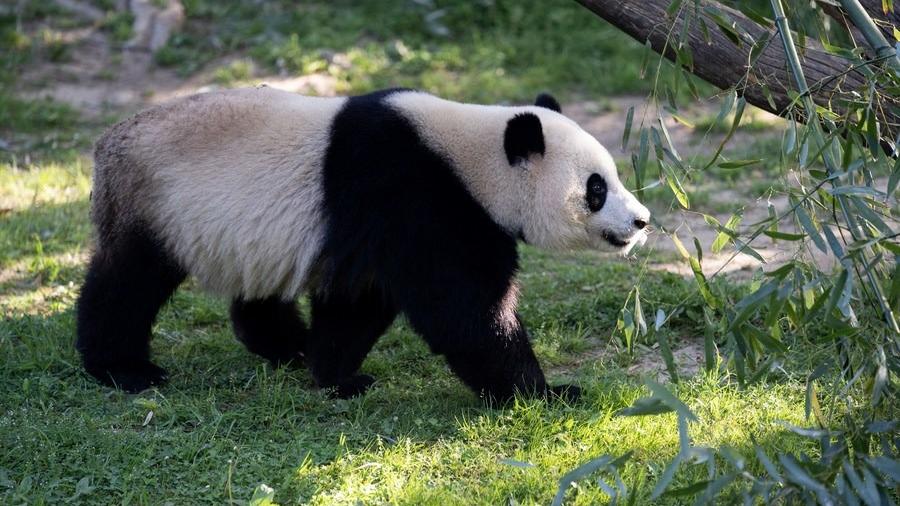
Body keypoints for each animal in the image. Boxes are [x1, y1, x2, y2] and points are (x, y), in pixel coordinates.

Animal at [76, 87, 650, 400]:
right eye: (597, 188)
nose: (642, 220)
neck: (472, 155)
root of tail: (105, 144)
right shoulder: (416, 194)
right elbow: (466, 313)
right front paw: (548, 394)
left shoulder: (377, 225)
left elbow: (360, 302)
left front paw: (333, 373)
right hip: (157, 204)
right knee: (128, 283)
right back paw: (123, 368)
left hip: (247, 232)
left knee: (258, 287)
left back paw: (288, 345)